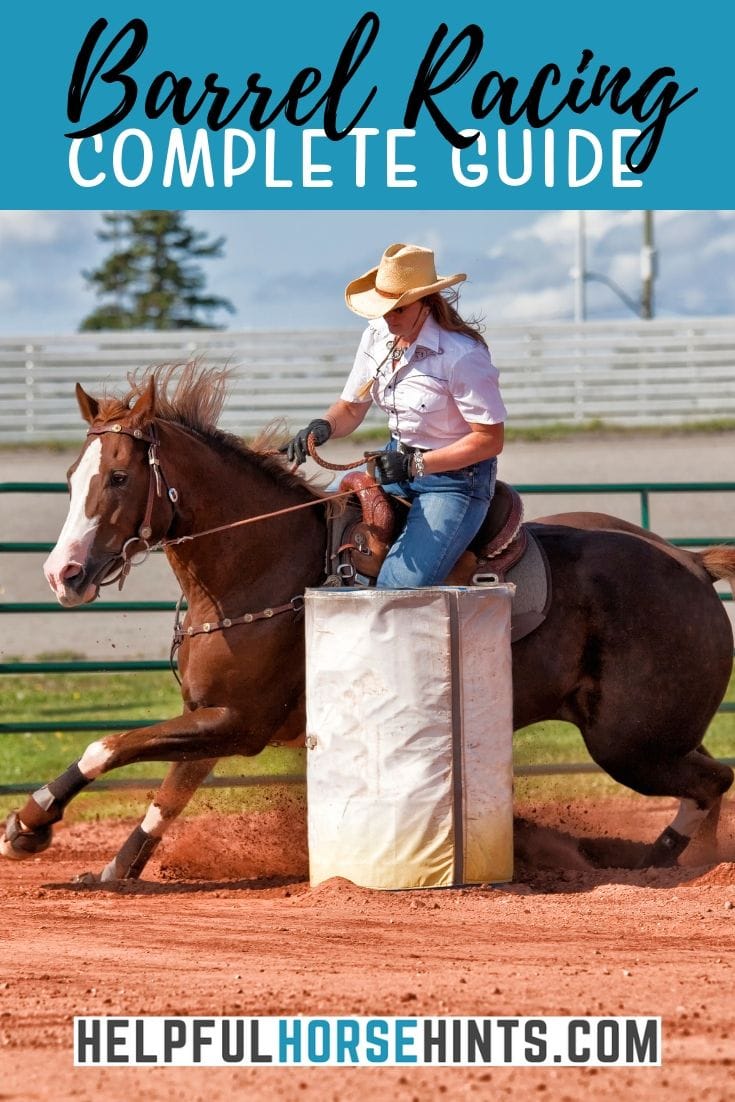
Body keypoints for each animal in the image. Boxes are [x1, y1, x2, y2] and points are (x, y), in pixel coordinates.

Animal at [2, 363, 734, 881]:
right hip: (651, 737)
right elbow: (165, 795)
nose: (63, 574)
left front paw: (29, 824)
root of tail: (692, 564)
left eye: (120, 478)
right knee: (712, 777)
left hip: (632, 743)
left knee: (712, 782)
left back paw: (660, 863)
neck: (266, 564)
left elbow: (111, 744)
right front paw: (107, 870)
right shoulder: (210, 718)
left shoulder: (237, 724)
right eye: (70, 476)